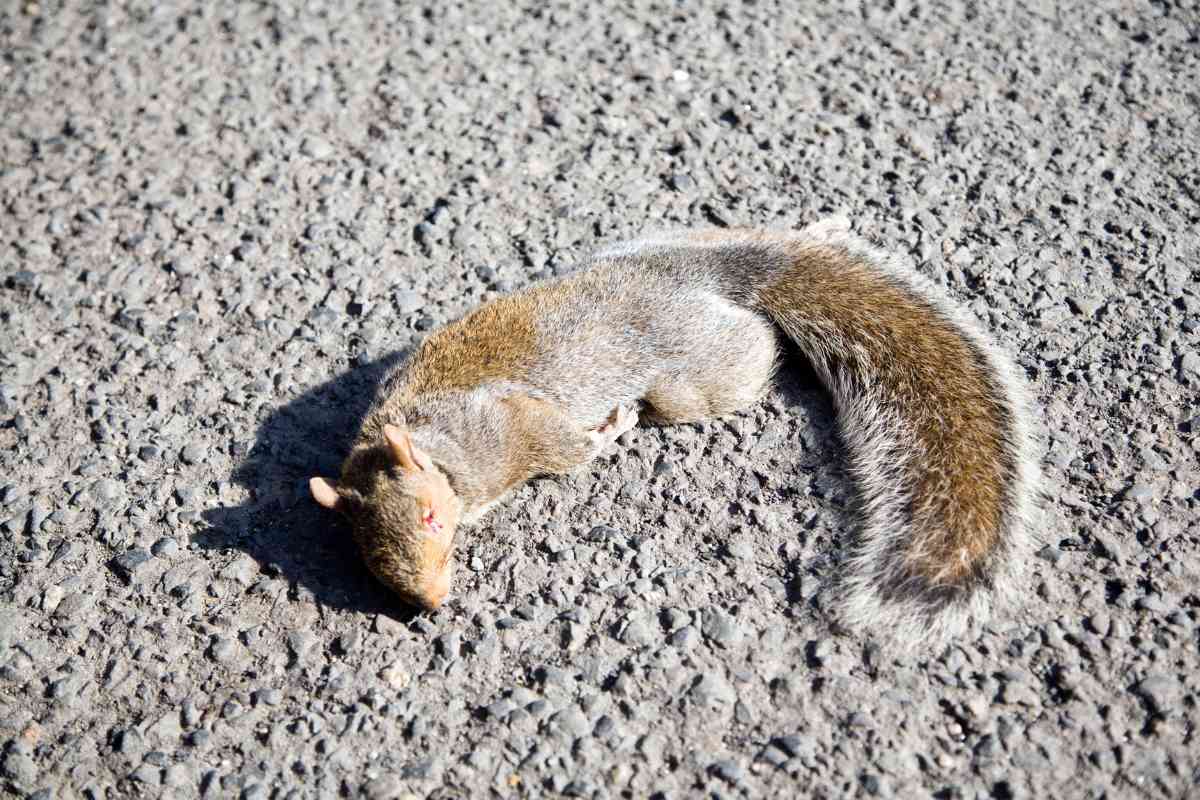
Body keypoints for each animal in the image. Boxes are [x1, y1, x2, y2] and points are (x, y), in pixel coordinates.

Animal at [309, 218, 1035, 646]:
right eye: (369, 560)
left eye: (432, 518)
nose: (432, 601)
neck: (428, 439)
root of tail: (706, 276)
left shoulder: (508, 430)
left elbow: (564, 447)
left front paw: (607, 430)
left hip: (697, 372)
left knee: (753, 351)